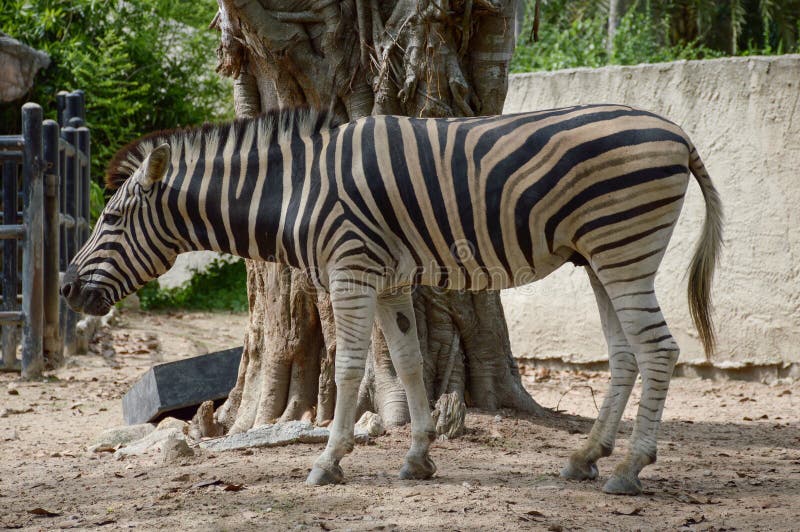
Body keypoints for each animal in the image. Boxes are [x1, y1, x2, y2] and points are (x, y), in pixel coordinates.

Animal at [61, 104, 722, 495]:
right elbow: (405, 364)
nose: (66, 288)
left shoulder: (351, 271)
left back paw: (630, 468)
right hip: (601, 259)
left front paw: (328, 462)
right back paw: (587, 456)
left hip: (623, 249)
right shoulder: (391, 280)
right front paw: (418, 458)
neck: (299, 188)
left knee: (658, 350)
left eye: (112, 220)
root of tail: (677, 132)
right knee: (626, 354)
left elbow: (351, 370)